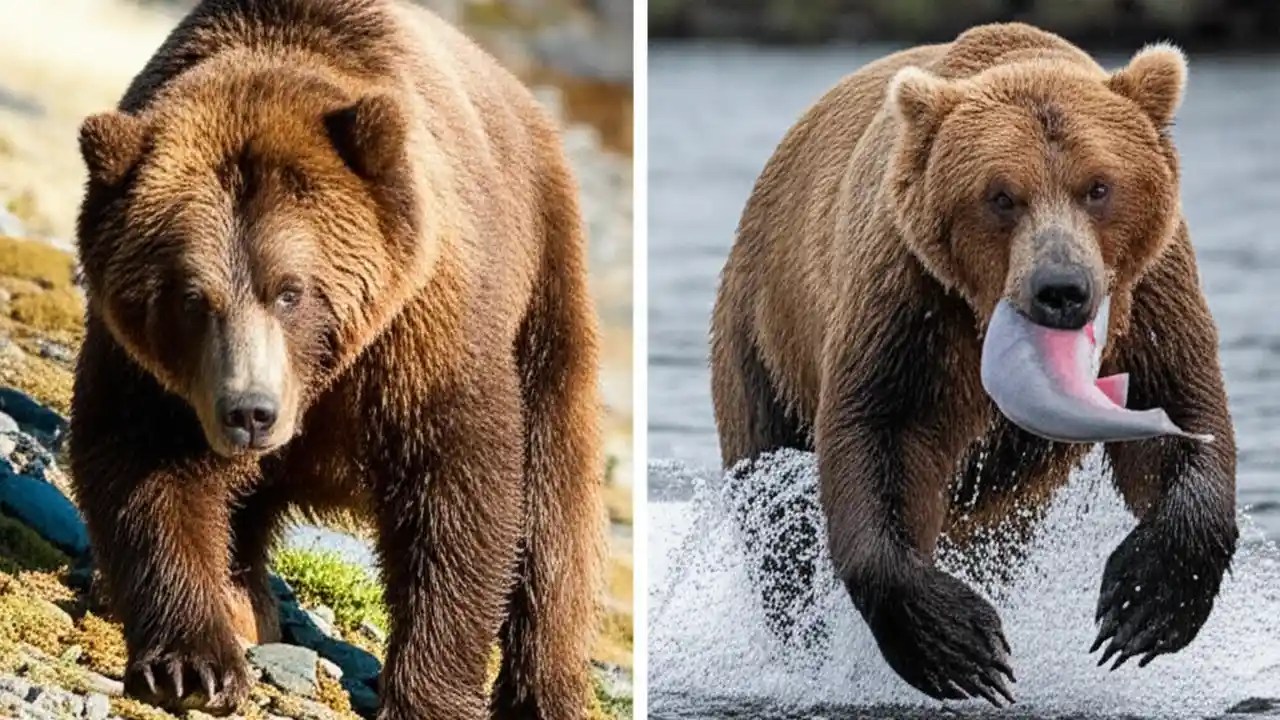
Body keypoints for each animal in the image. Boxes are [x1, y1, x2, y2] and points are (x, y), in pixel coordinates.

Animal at [70, 1, 605, 717]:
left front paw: (427, 695)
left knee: (556, 491)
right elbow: (143, 466)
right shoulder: (155, 370)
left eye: (291, 290)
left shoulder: (421, 330)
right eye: (190, 298)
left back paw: (544, 689)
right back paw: (242, 602)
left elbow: (457, 492)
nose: (250, 413)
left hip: (546, 282)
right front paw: (194, 667)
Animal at [711, 23, 1237, 706]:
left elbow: (1178, 416)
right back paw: (806, 643)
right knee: (776, 512)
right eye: (1001, 196)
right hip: (763, 337)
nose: (1061, 289)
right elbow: (884, 433)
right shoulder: (913, 297)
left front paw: (1143, 604)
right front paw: (957, 643)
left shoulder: (1148, 296)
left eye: (1098, 186)